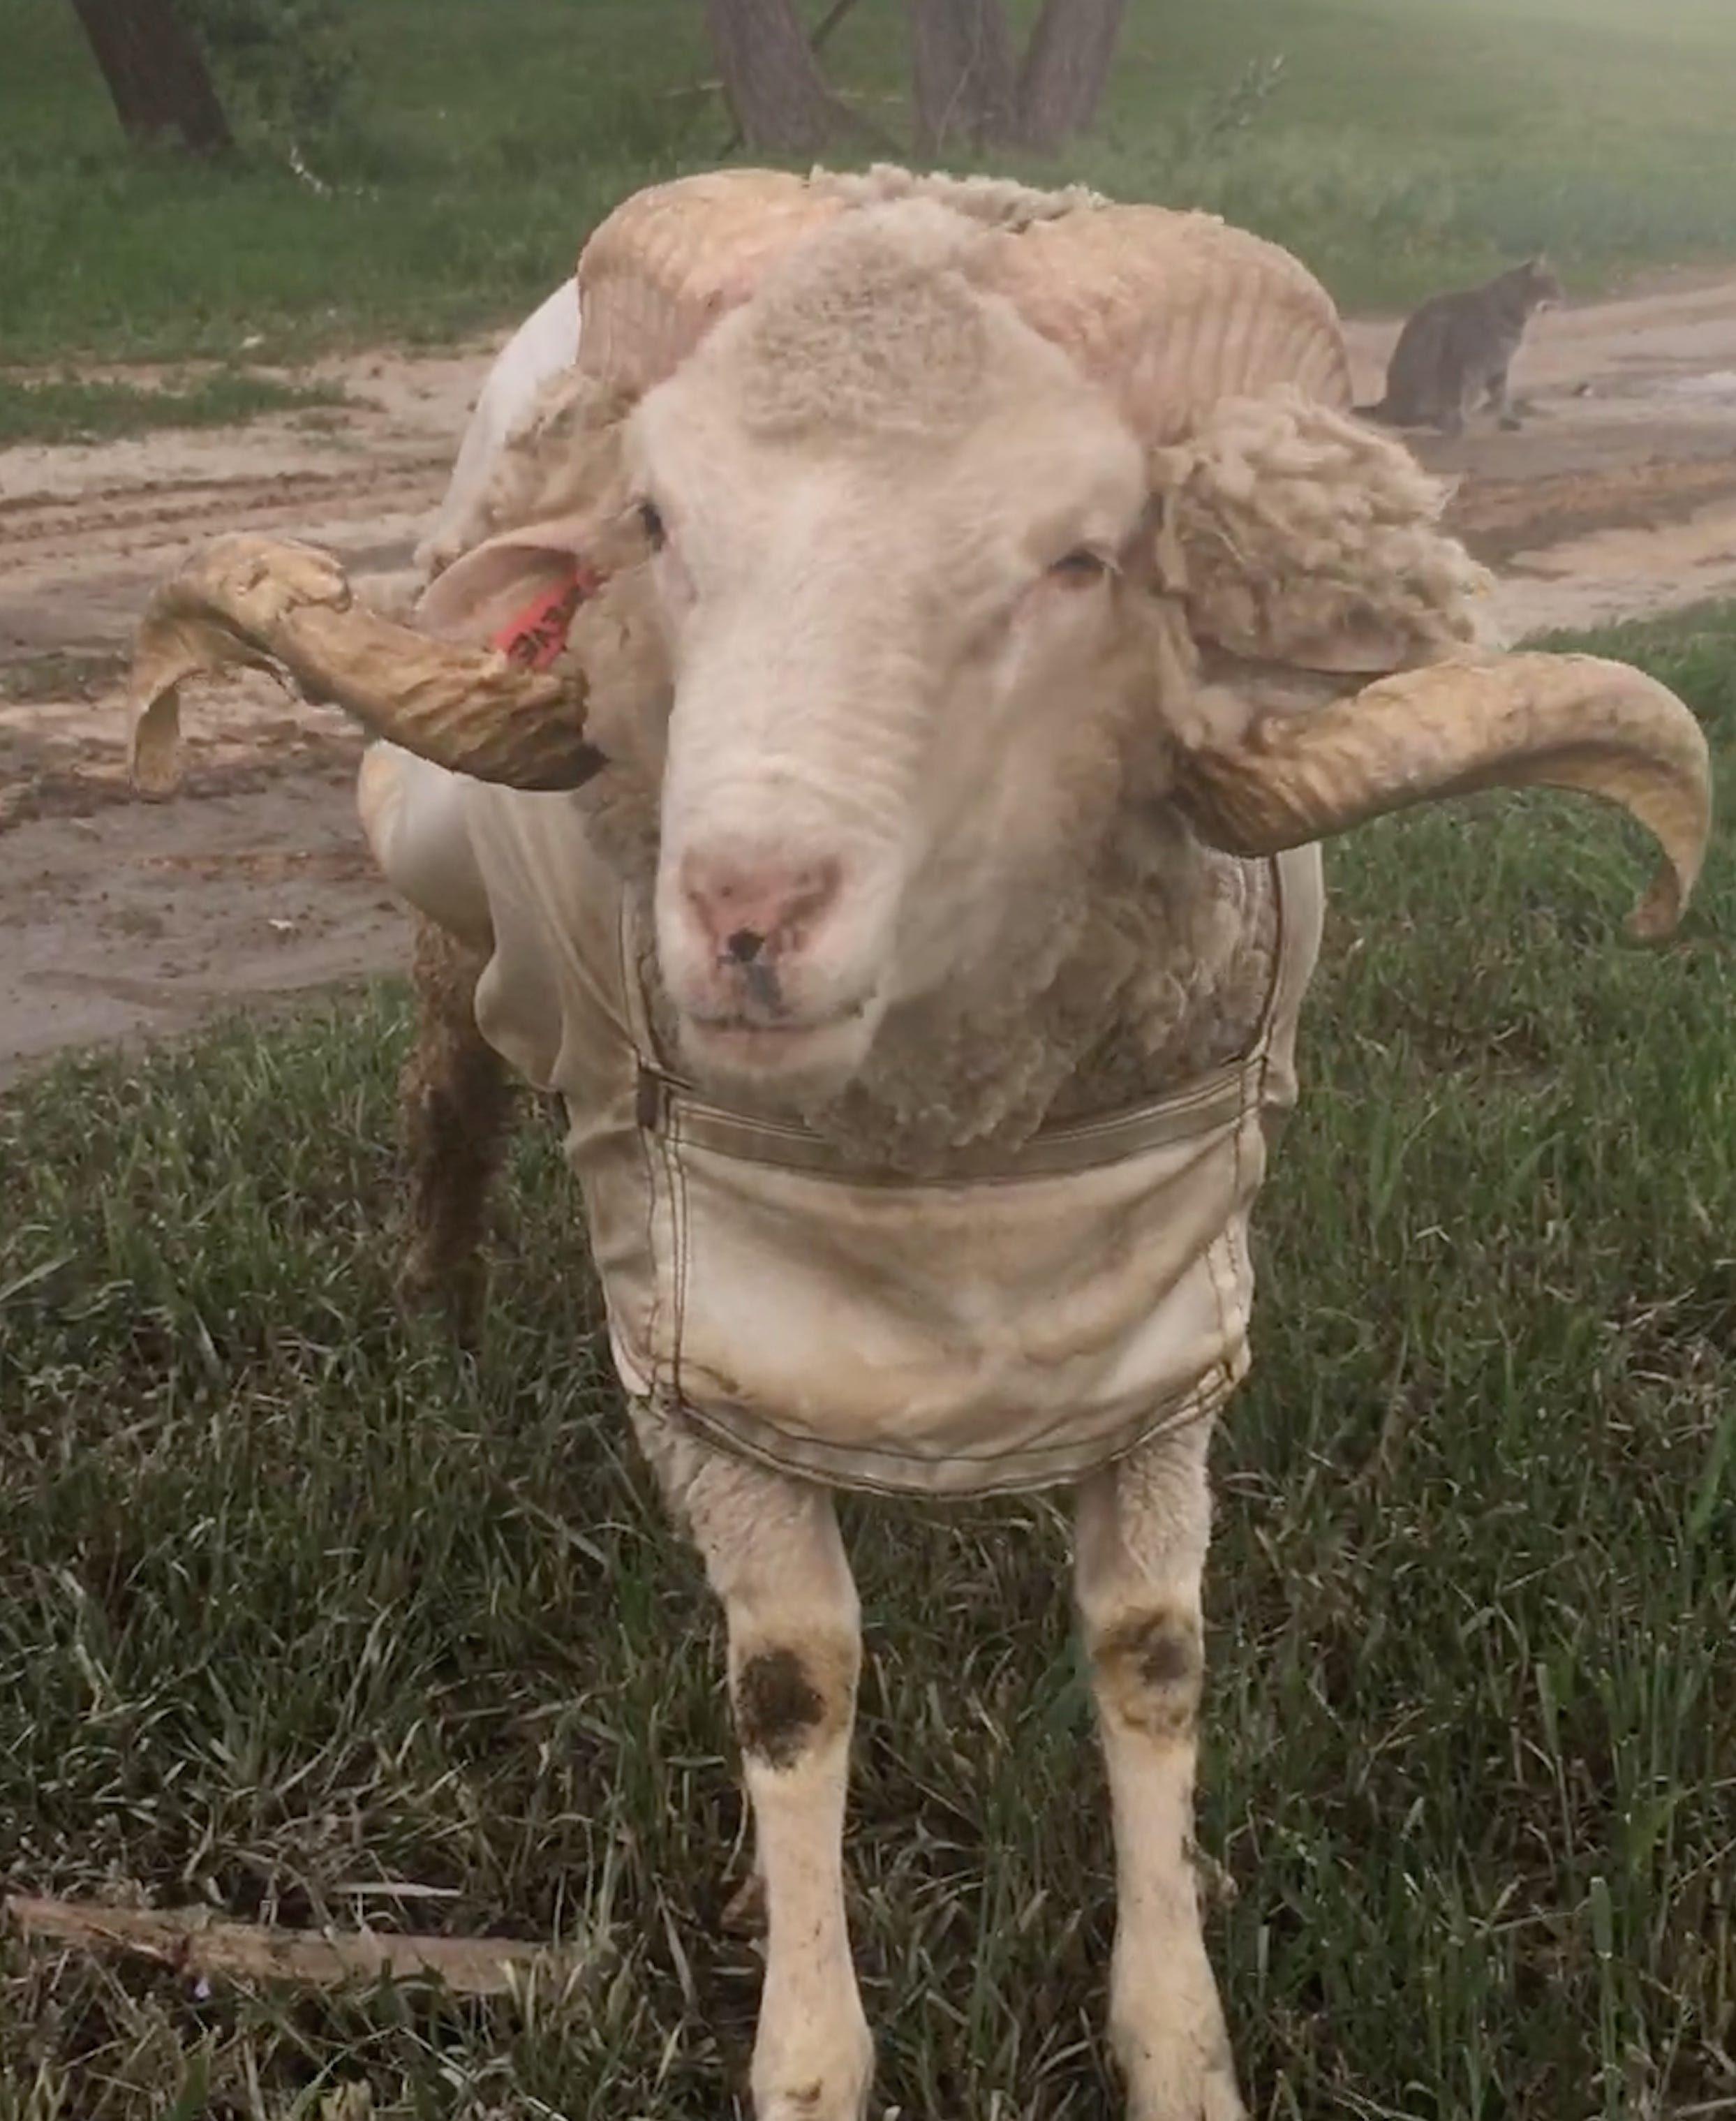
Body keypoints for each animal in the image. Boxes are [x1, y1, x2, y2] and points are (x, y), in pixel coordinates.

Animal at [126, 165, 1711, 2121]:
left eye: (1084, 559)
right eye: (654, 518)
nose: (742, 910)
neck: (943, 1152)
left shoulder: (1164, 1315)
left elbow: (1152, 1656)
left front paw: (1177, 2040)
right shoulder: (692, 1331)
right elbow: (795, 1678)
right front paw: (807, 2049)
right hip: (450, 918)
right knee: (447, 1094)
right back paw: (439, 1308)